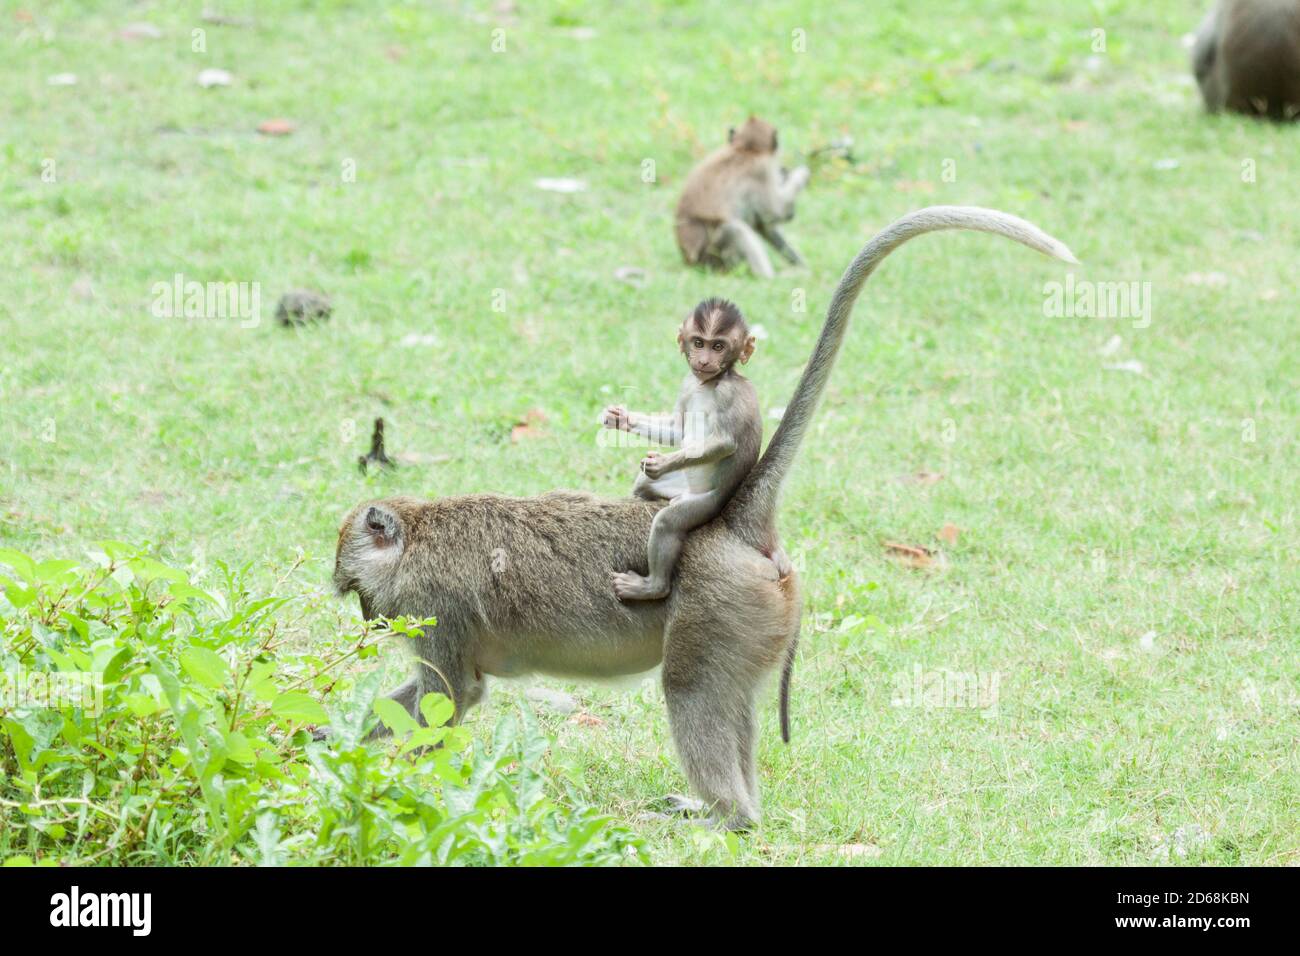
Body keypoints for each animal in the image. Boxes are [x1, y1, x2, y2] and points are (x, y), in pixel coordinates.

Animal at [600, 298, 761, 601]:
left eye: (718, 346)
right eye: (698, 343)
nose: (704, 360)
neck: (708, 383)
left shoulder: (728, 393)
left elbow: (724, 442)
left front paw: (660, 463)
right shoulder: (688, 383)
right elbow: (678, 430)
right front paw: (621, 419)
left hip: (705, 503)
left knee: (668, 523)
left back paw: (652, 587)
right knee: (644, 487)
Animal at [674, 117, 810, 279]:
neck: (746, 150)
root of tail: (689, 261)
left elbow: (763, 225)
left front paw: (801, 264)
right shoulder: (762, 170)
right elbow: (774, 213)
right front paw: (801, 174)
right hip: (712, 256)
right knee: (734, 230)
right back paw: (768, 278)